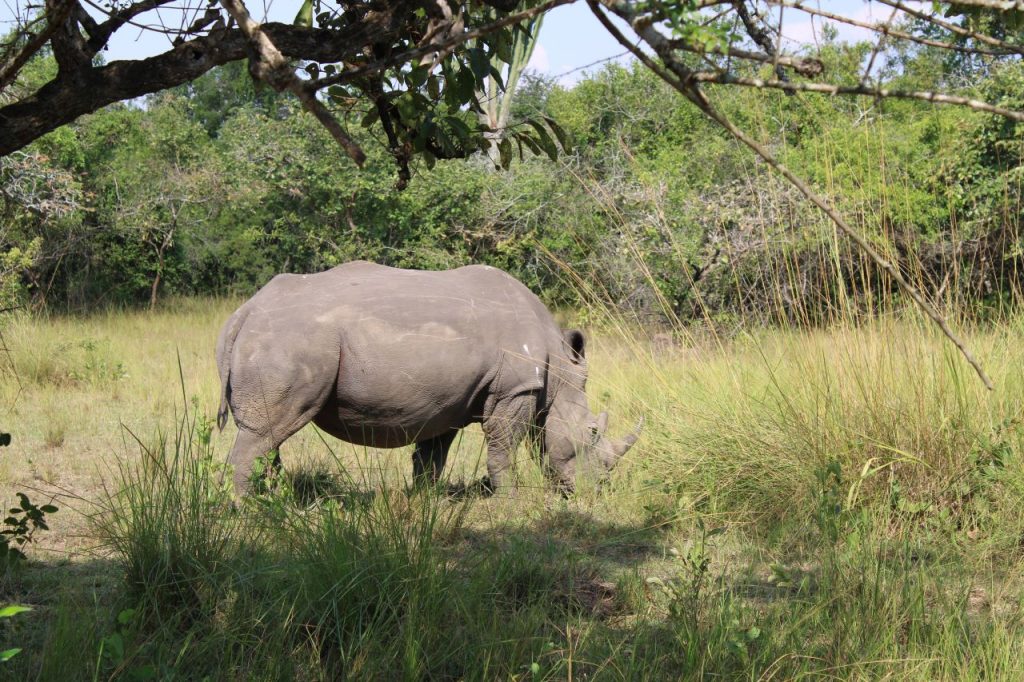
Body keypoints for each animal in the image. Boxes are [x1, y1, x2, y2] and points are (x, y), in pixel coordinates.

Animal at [215, 261, 641, 494]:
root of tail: (245, 311)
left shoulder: (450, 398)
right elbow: (503, 447)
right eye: (592, 432)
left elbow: (432, 456)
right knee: (266, 433)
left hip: (277, 338)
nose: (598, 490)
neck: (558, 375)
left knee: (270, 436)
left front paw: (423, 501)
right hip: (288, 340)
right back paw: (253, 510)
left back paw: (276, 500)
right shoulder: (515, 388)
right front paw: (511, 498)